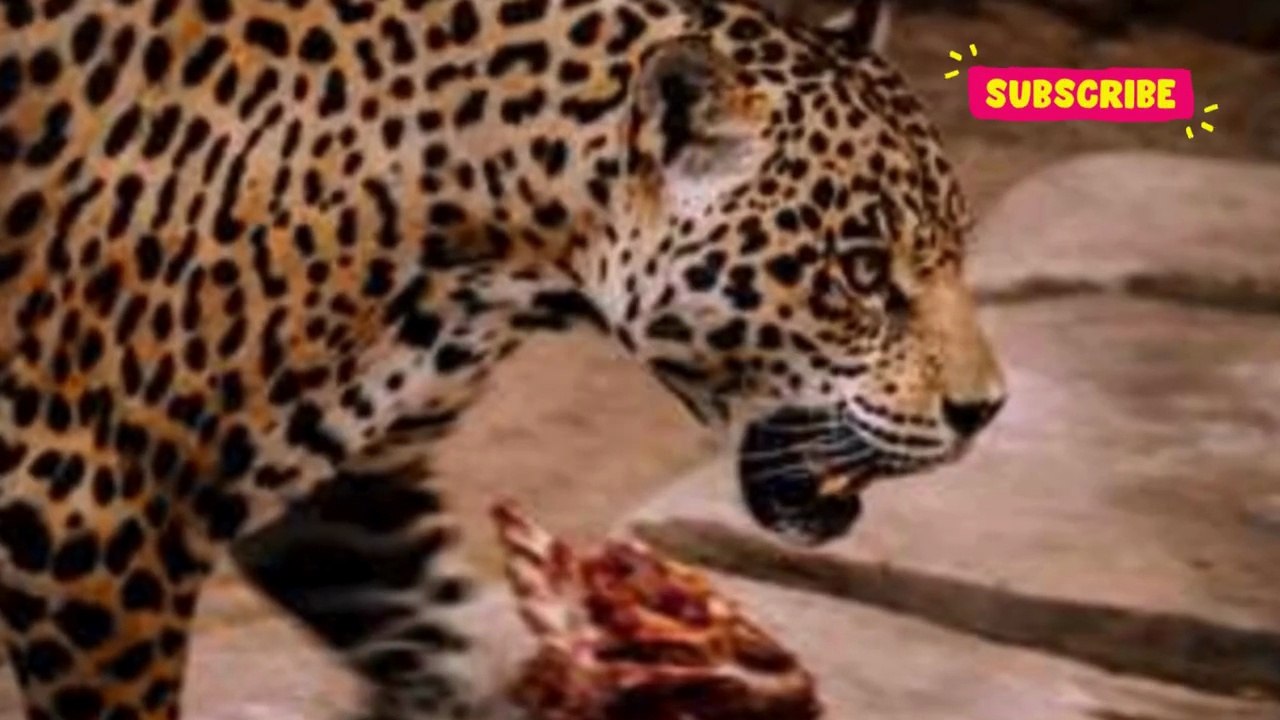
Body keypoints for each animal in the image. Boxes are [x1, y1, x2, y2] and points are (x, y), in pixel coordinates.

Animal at [0, 0, 1006, 717]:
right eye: (862, 272)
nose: (985, 411)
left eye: (957, 249)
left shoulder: (351, 499)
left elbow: (439, 646)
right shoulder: (93, 515)